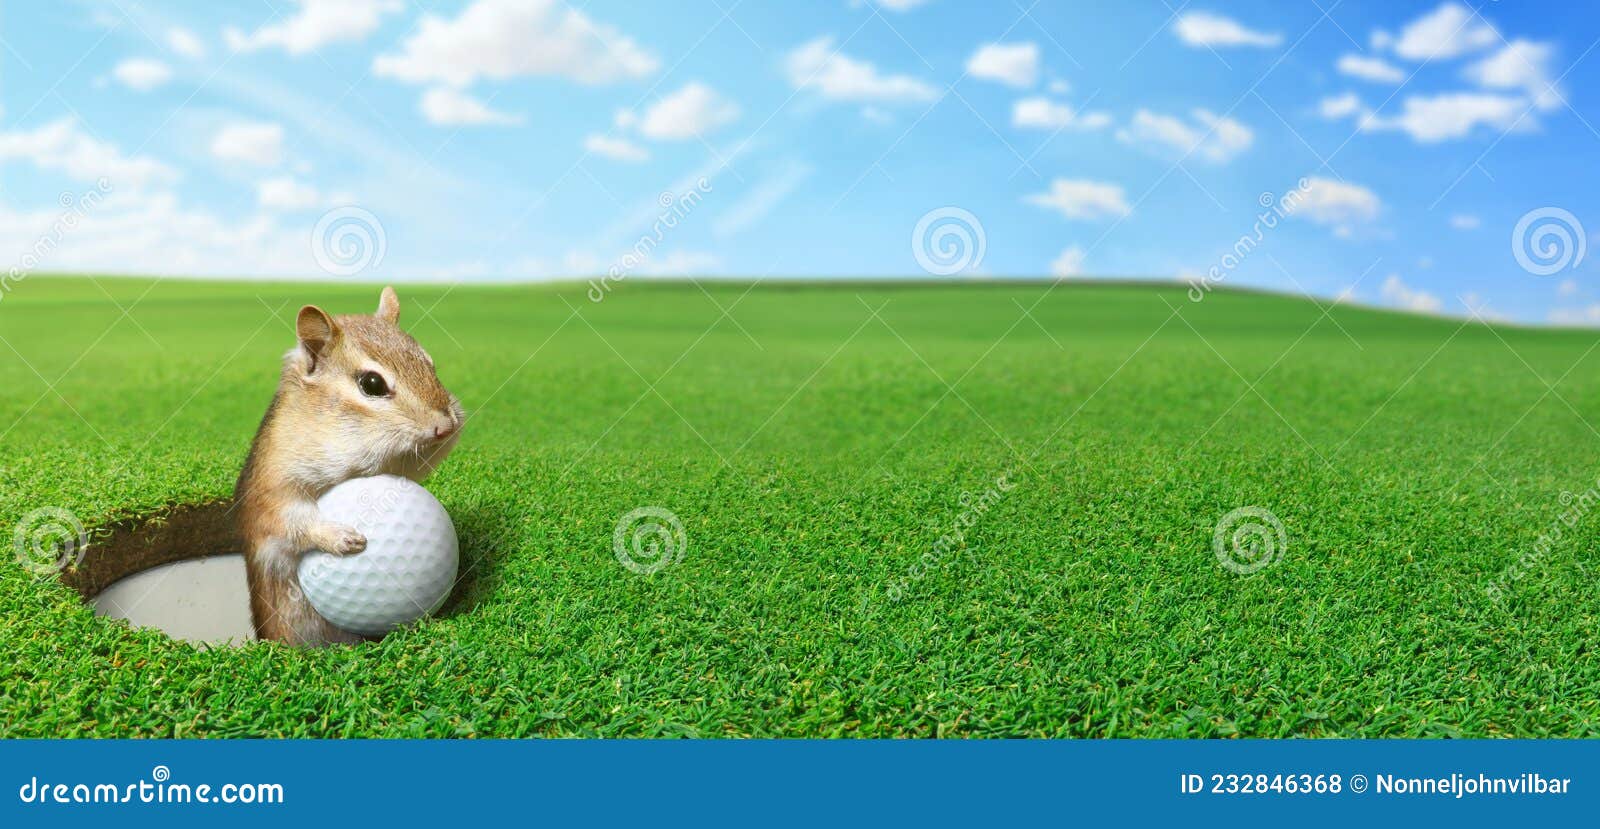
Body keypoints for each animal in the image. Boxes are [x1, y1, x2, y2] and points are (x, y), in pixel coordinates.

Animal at [235, 286, 464, 646]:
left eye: (430, 364)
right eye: (372, 383)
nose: (446, 426)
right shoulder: (271, 489)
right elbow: (286, 520)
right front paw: (338, 537)